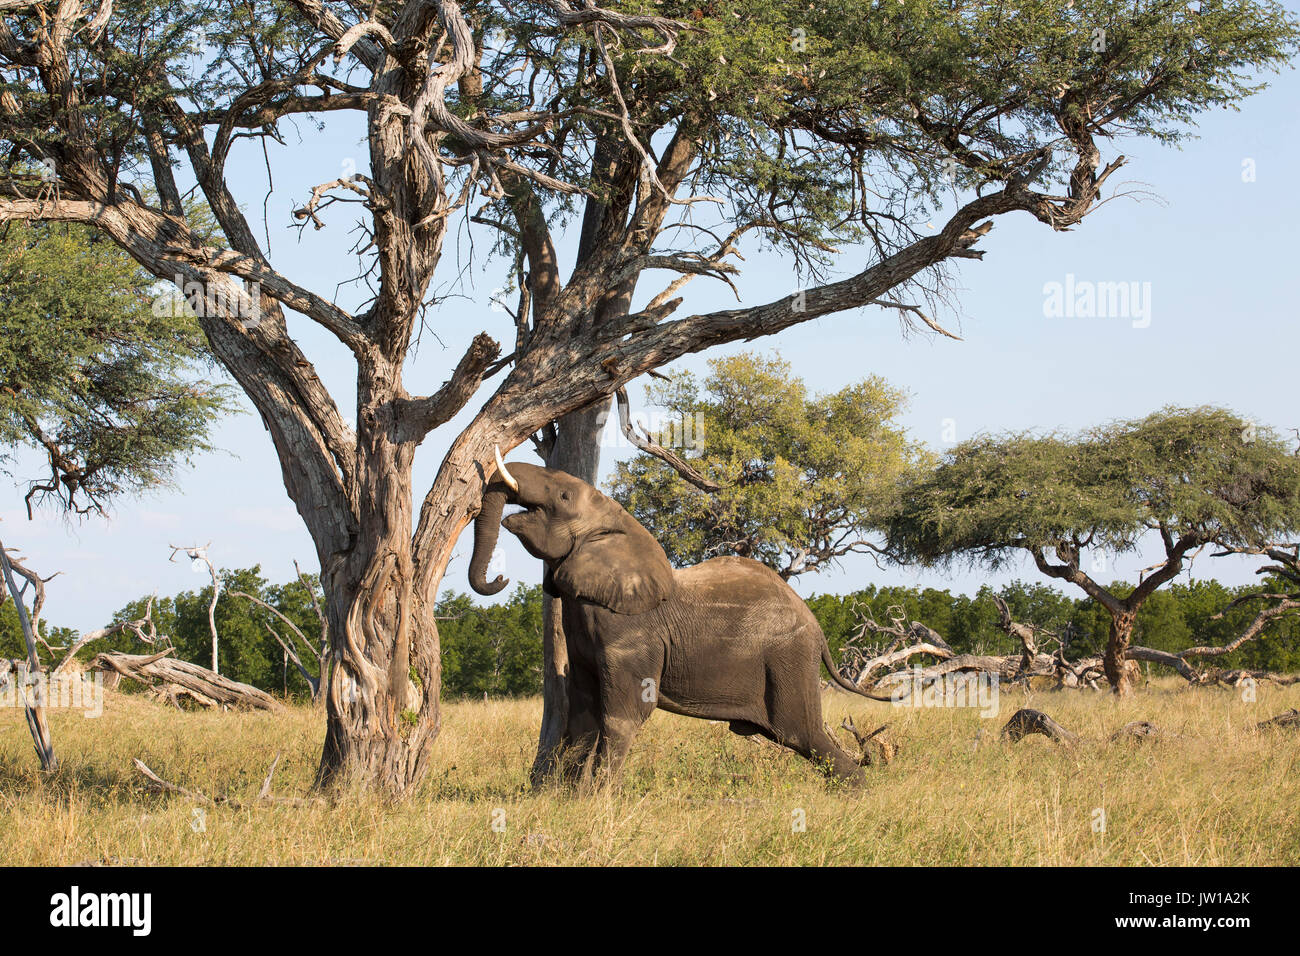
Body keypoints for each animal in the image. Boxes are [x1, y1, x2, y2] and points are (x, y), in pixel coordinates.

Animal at [468, 447, 891, 787]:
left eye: (563, 495)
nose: (500, 579)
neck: (615, 524)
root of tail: (817, 628)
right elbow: (584, 714)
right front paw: (567, 799)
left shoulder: (630, 633)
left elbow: (623, 715)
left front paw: (596, 798)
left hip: (788, 658)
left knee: (801, 733)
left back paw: (858, 794)